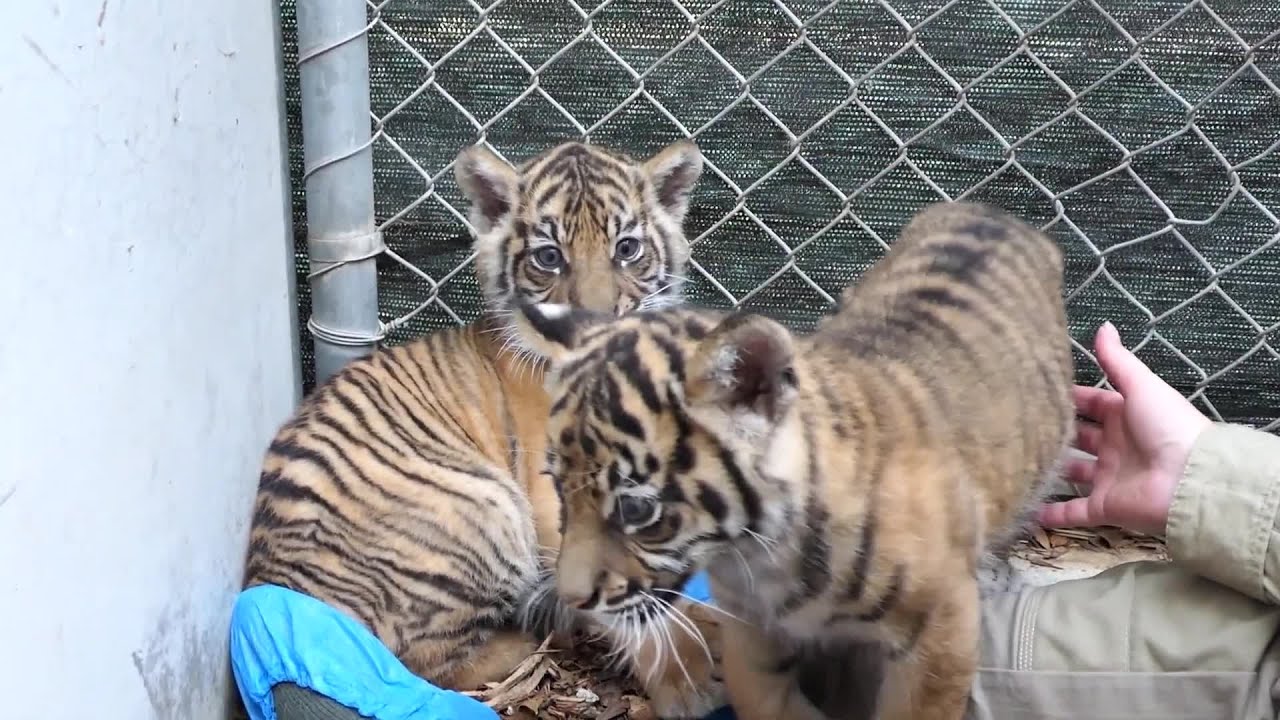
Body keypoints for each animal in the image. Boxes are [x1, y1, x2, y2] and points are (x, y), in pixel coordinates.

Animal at [241, 139, 728, 717]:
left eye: (627, 249)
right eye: (548, 257)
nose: (596, 325)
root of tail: (271, 586)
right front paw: (688, 681)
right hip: (483, 505)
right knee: (420, 663)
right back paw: (536, 640)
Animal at [506, 200, 1076, 720]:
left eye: (637, 510)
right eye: (558, 486)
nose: (572, 599)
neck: (759, 554)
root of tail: (993, 211)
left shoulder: (940, 630)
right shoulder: (750, 628)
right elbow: (765, 700)